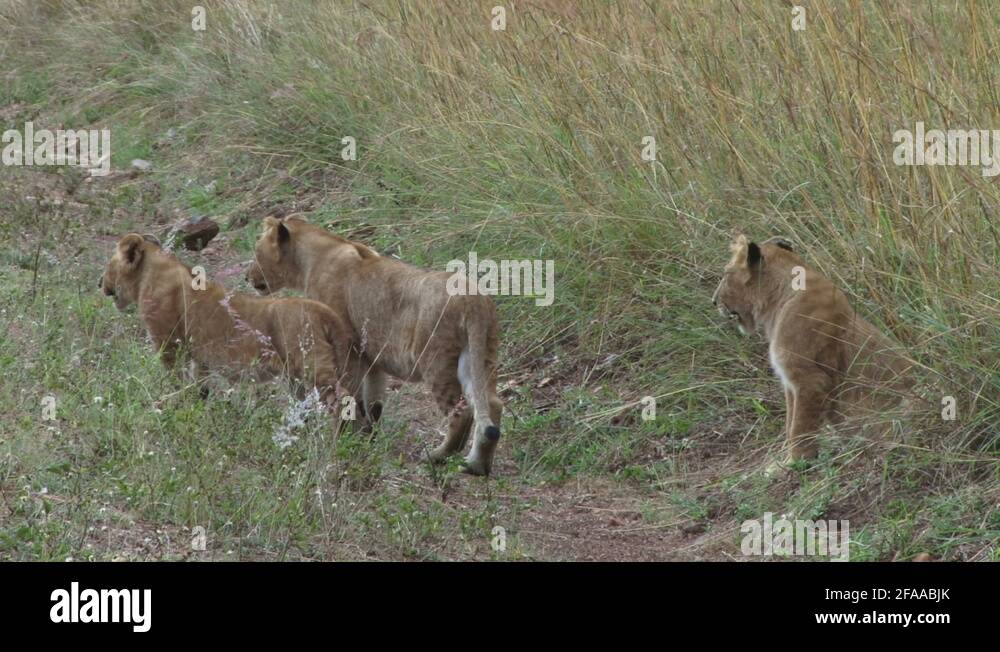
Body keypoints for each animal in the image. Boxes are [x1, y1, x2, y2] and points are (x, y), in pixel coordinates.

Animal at [100, 233, 369, 429]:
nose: (98, 282)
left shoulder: (168, 344)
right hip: (306, 373)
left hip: (312, 365)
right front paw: (198, 410)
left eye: (108, 266)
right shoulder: (199, 358)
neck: (151, 274)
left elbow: (175, 380)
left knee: (341, 399)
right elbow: (200, 386)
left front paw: (175, 406)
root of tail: (324, 312)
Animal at [246, 216, 503, 476]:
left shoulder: (347, 348)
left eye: (256, 252)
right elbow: (372, 401)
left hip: (436, 360)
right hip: (480, 356)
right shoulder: (371, 355)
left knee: (462, 412)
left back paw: (437, 457)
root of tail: (473, 299)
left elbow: (348, 394)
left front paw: (345, 439)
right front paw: (367, 437)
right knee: (493, 405)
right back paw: (476, 466)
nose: (247, 277)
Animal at [712, 235, 913, 462]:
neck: (776, 304)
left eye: (726, 274)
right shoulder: (790, 383)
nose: (713, 301)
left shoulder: (811, 379)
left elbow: (800, 427)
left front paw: (794, 462)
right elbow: (790, 421)